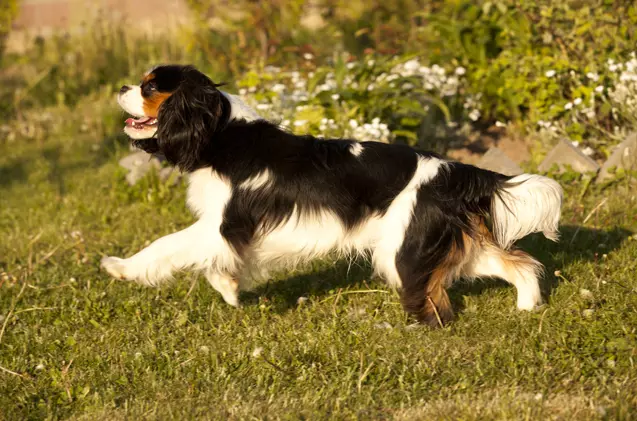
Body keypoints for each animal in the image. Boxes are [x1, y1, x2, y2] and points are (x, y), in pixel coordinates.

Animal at [102, 64, 564, 324]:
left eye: (149, 88)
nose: (119, 87)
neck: (220, 132)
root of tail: (453, 170)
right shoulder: (226, 233)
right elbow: (218, 265)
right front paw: (231, 290)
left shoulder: (223, 225)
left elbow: (165, 245)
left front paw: (121, 268)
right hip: (452, 245)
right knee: (519, 265)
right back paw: (528, 308)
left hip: (402, 251)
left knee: (435, 301)